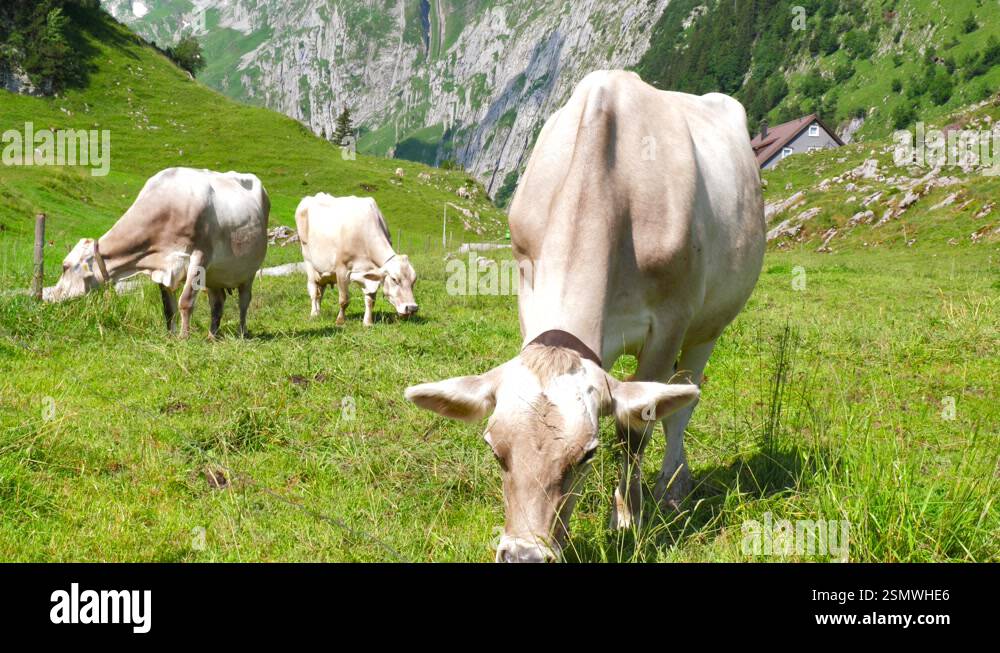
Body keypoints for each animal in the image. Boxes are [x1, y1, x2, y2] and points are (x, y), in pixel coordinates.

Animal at [49, 167, 270, 338]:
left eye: (65, 267)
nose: (51, 296)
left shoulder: (200, 256)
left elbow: (185, 302)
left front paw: (183, 337)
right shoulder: (161, 267)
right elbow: (168, 307)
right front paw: (170, 335)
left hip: (249, 270)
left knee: (244, 301)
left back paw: (241, 333)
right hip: (215, 275)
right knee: (218, 301)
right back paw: (212, 335)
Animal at [295, 194, 418, 326]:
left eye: (414, 280)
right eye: (394, 279)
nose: (412, 308)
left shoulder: (370, 275)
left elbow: (370, 300)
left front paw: (367, 322)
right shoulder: (342, 269)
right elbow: (344, 299)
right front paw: (340, 321)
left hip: (323, 271)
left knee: (320, 291)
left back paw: (318, 312)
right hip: (308, 260)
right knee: (313, 291)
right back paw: (314, 314)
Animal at [405, 71, 765, 562]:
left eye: (586, 455)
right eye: (495, 450)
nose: (524, 556)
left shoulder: (669, 323)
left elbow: (636, 431)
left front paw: (626, 518)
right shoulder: (530, 294)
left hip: (709, 325)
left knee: (682, 406)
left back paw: (672, 487)